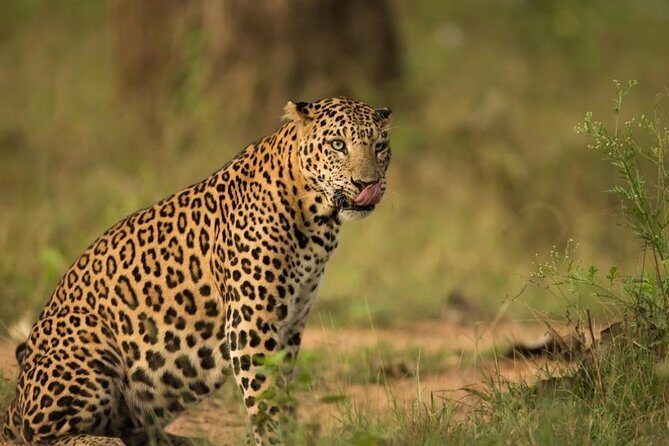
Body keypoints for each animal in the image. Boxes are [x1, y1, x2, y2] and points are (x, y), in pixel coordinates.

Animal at [0, 97, 392, 445]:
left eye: (380, 147)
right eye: (338, 145)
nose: (366, 184)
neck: (317, 220)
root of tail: (15, 403)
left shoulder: (292, 323)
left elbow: (282, 390)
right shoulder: (251, 323)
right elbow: (264, 397)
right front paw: (275, 439)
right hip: (88, 343)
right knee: (40, 434)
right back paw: (104, 442)